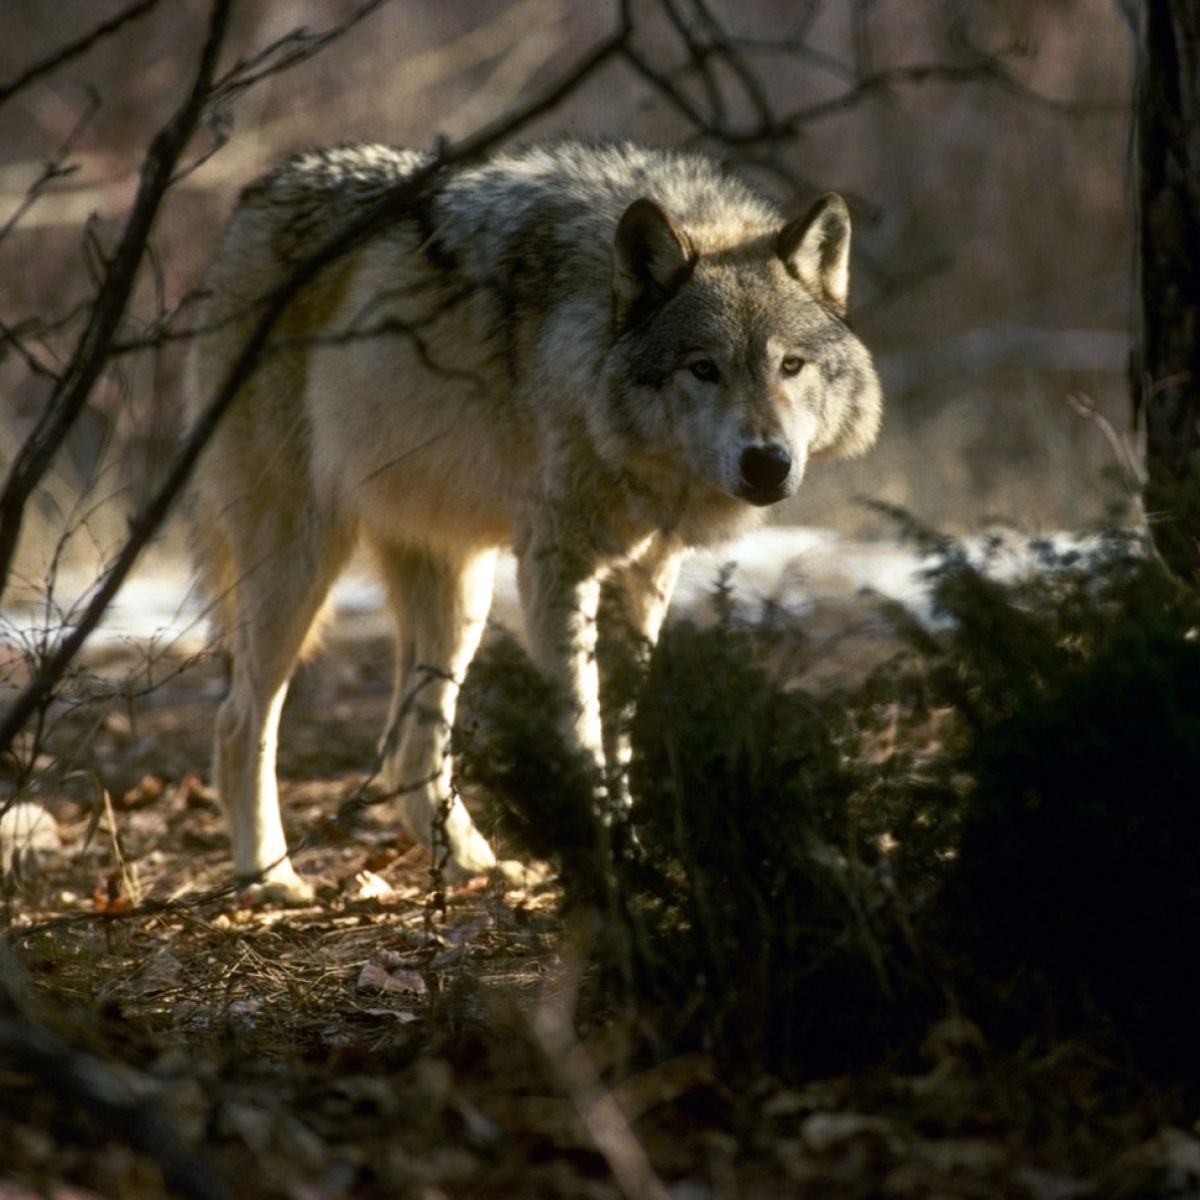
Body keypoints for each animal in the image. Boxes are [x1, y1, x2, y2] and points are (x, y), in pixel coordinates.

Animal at [185, 141, 882, 902]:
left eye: (790, 365)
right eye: (704, 368)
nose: (766, 464)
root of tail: (254, 199)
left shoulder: (647, 573)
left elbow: (622, 735)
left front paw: (633, 851)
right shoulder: (557, 568)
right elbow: (583, 734)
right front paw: (608, 862)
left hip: (460, 594)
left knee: (407, 750)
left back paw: (472, 863)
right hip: (301, 566)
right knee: (237, 725)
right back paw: (270, 878)